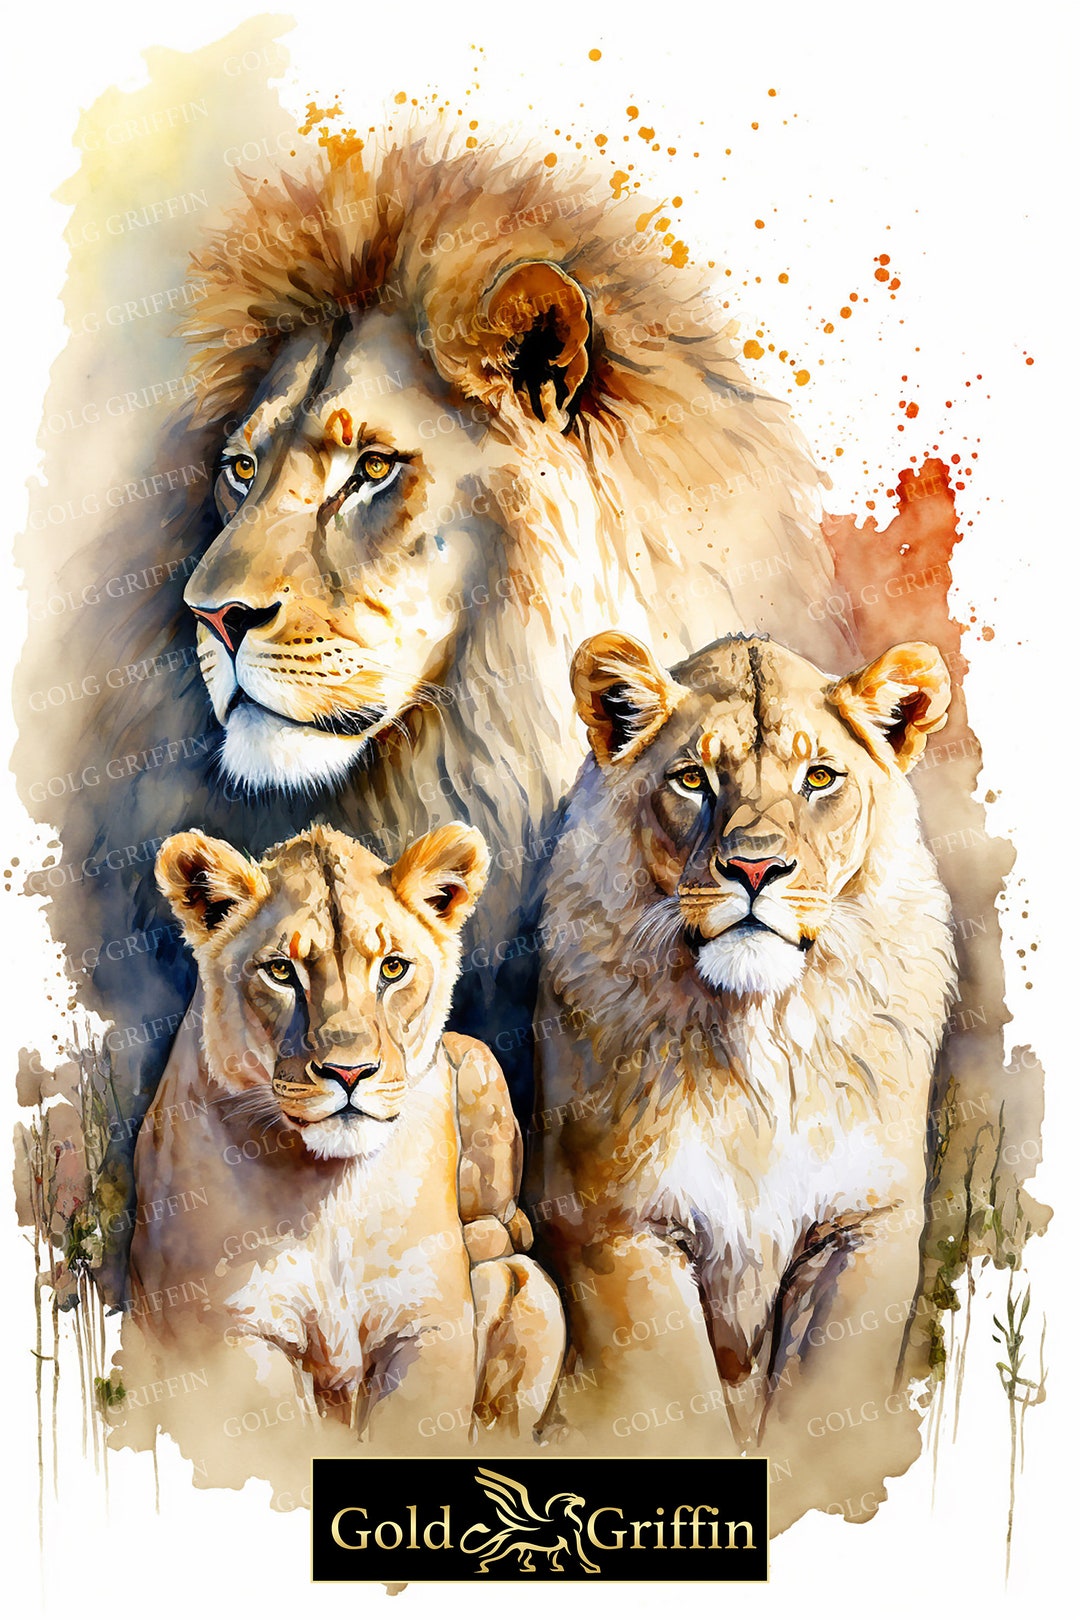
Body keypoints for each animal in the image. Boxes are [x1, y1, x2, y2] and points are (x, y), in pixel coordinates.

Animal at [122, 819, 565, 1464]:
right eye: (281, 972)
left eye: (393, 969)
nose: (350, 1072)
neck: (334, 1200)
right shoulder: (231, 1337)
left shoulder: (430, 1325)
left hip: (530, 1279)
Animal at [528, 630, 956, 1506]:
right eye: (693, 779)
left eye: (819, 777)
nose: (756, 870)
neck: (759, 1032)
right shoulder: (615, 1227)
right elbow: (674, 1406)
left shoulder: (868, 1222)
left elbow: (827, 1410)